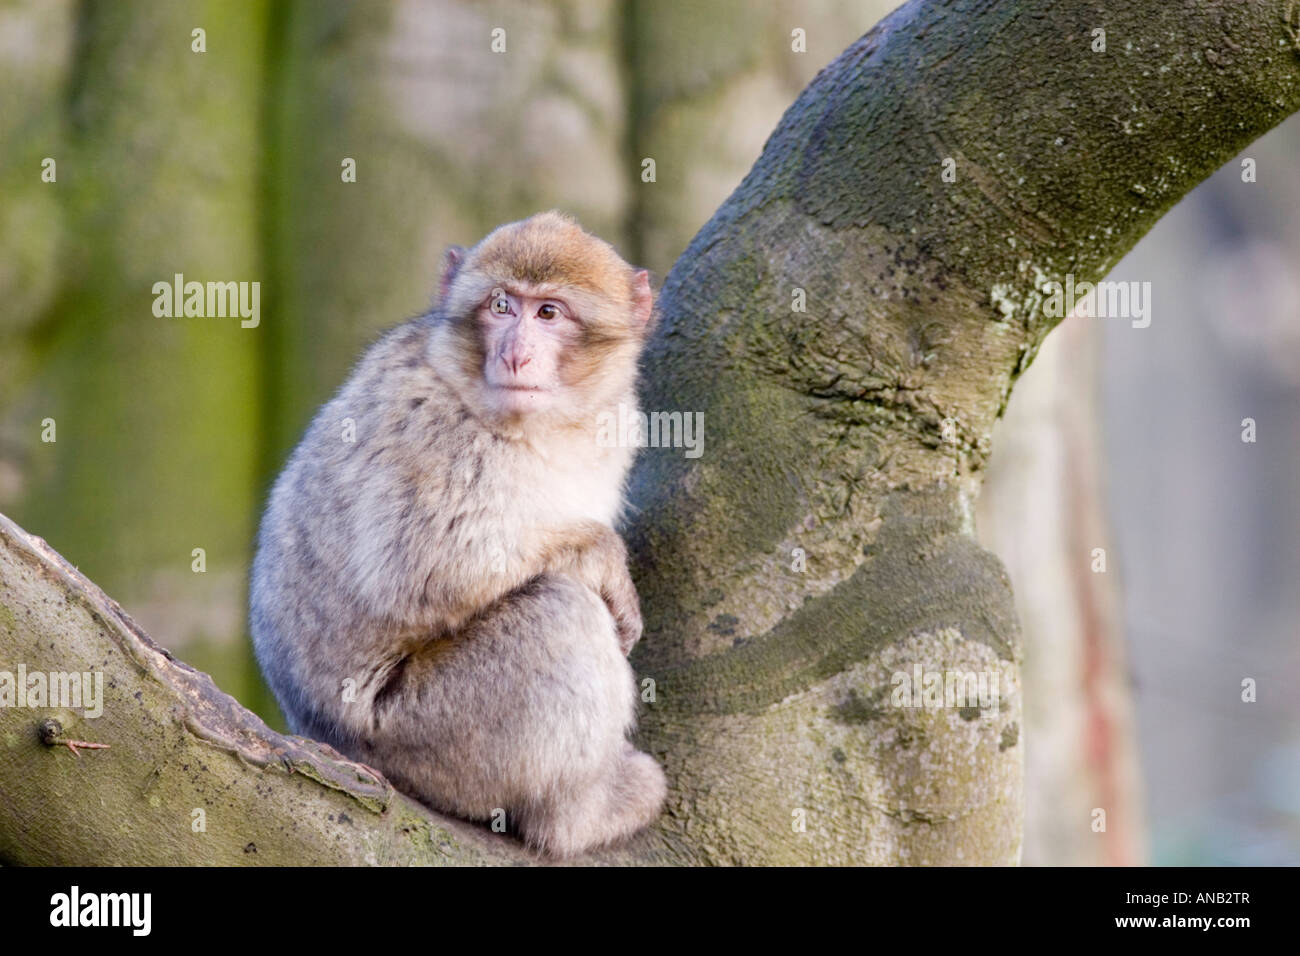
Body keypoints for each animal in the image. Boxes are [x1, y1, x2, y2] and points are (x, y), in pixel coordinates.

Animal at [249, 211, 667, 856]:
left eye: (549, 312)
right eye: (501, 305)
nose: (515, 354)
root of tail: (326, 737)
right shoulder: (437, 429)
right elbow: (429, 567)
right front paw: (604, 559)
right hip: (426, 737)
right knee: (561, 613)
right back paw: (576, 819)